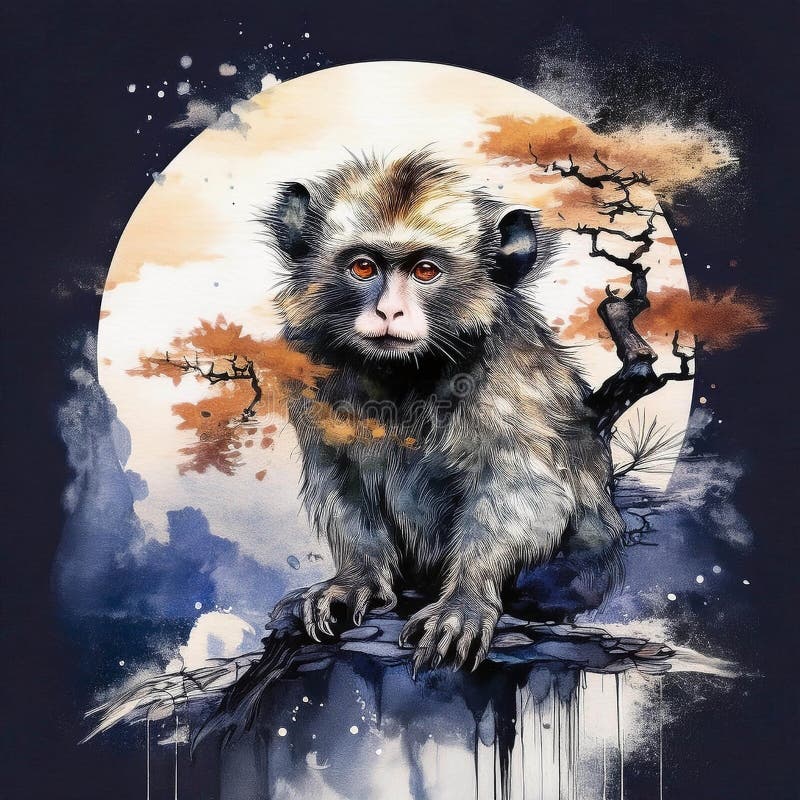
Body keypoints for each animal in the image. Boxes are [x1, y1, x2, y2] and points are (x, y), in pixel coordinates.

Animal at [264, 149, 625, 674]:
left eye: (425, 271)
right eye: (364, 268)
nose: (389, 313)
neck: (406, 374)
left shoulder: (506, 377)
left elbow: (525, 488)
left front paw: (465, 599)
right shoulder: (315, 371)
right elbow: (341, 476)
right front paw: (355, 579)